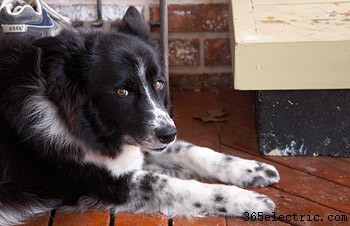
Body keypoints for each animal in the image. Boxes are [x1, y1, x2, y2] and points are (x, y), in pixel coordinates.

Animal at [0, 6, 280, 225]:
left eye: (158, 83)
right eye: (121, 91)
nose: (169, 134)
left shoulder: (143, 139)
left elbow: (191, 150)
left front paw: (252, 169)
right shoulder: (100, 182)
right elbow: (169, 184)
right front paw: (247, 200)